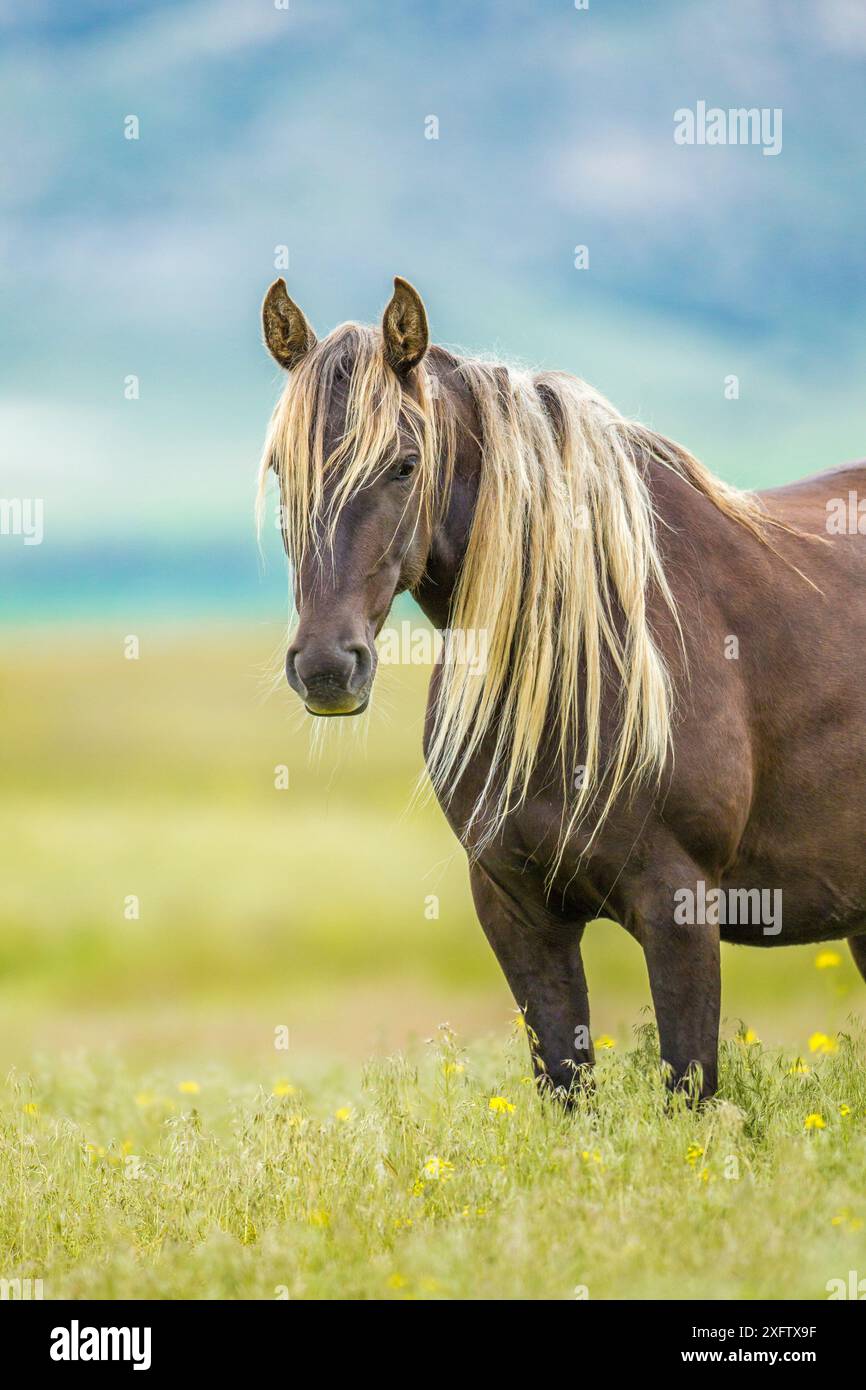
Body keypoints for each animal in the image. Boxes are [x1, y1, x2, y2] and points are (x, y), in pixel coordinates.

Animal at [258, 274, 866, 1101]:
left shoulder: (680, 908)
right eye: (282, 473)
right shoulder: (517, 912)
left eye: (405, 464)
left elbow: (689, 1086)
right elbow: (566, 1081)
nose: (326, 665)